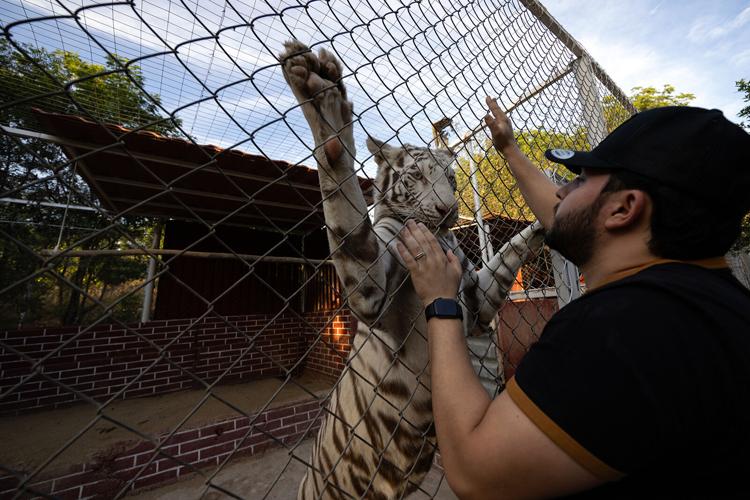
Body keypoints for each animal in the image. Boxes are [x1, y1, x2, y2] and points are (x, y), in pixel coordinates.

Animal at [279, 41, 545, 499]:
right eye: (417, 175)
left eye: (453, 180)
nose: (447, 209)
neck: (441, 238)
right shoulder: (370, 289)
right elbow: (346, 211)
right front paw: (324, 106)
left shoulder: (478, 298)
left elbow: (509, 251)